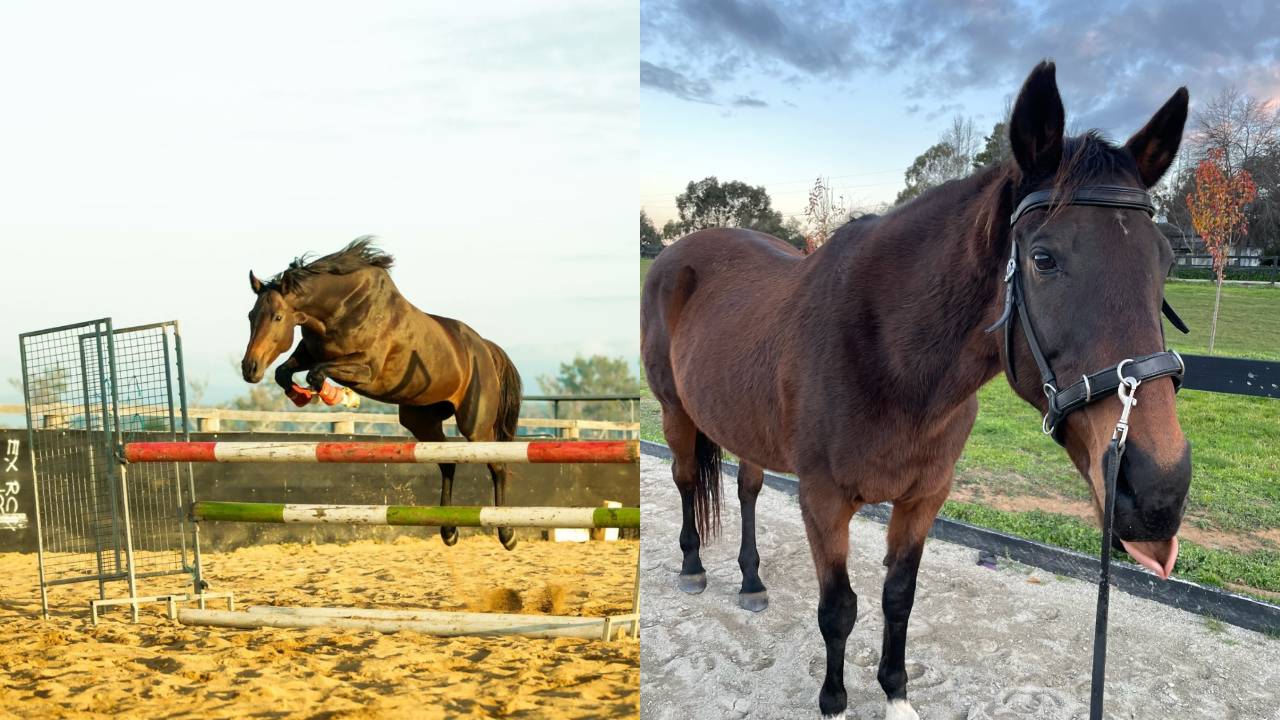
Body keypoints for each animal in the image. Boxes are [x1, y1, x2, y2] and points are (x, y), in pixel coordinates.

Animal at [240, 238, 524, 550]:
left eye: (278, 317)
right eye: (251, 316)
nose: (249, 368)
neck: (342, 308)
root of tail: (485, 347)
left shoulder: (367, 369)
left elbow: (317, 372)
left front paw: (338, 396)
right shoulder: (309, 352)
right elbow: (285, 372)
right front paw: (302, 396)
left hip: (476, 425)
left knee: (497, 466)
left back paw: (507, 534)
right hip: (421, 420)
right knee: (447, 461)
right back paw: (449, 529)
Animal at [641, 62, 1192, 719]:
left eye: (1164, 261)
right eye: (1042, 259)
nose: (1158, 491)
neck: (890, 359)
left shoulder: (924, 497)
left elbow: (897, 598)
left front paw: (896, 692)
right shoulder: (823, 501)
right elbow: (839, 608)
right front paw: (834, 699)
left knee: (747, 488)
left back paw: (751, 582)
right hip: (676, 413)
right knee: (685, 479)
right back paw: (692, 567)